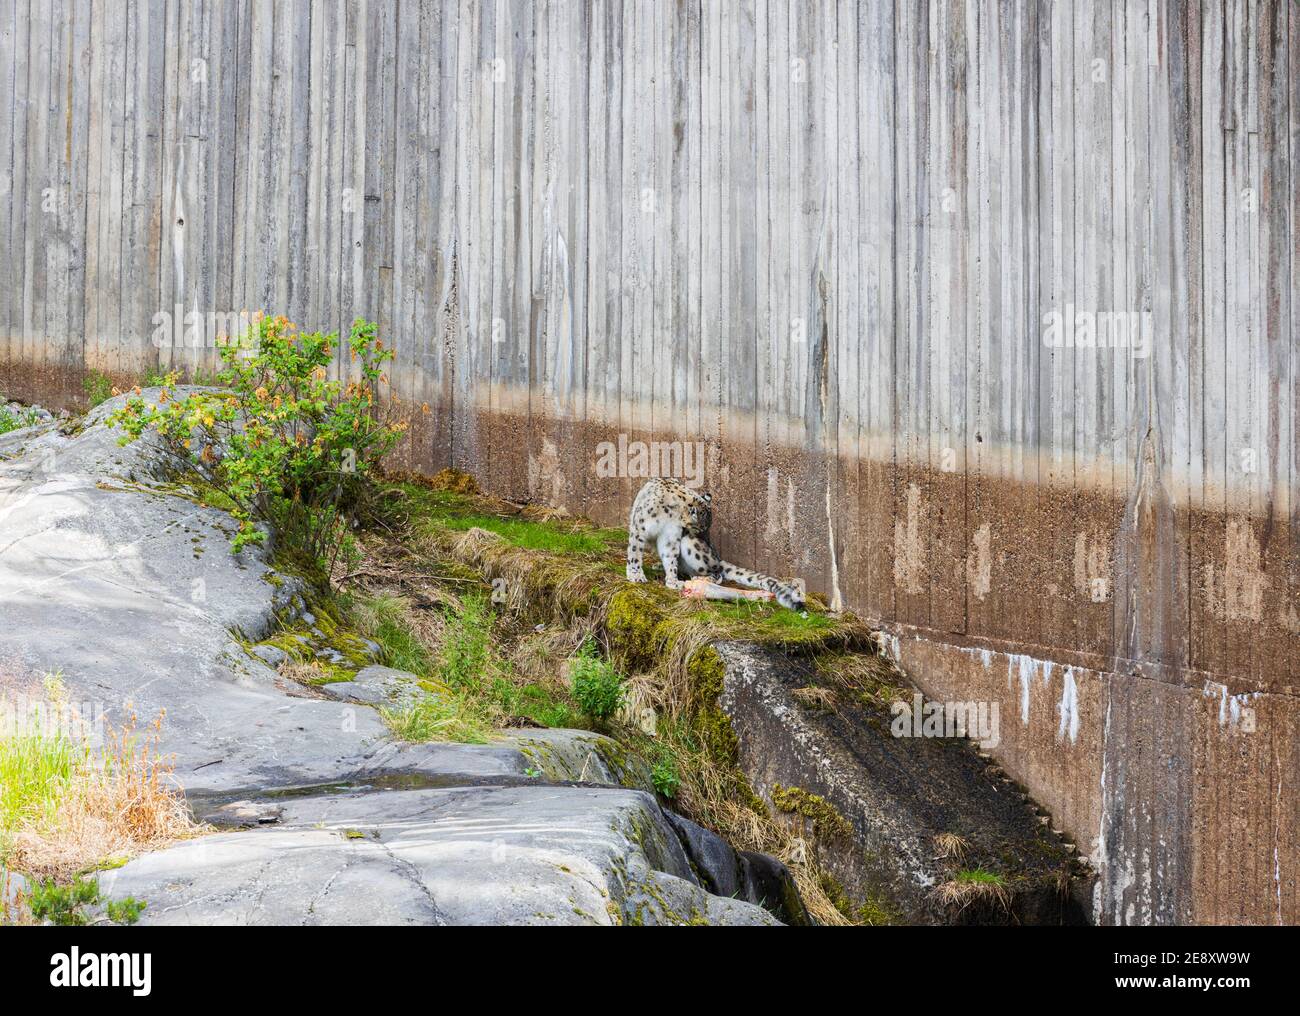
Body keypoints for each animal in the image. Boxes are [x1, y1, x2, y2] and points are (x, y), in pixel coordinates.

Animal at [625, 478, 806, 611]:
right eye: (700, 527)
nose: (705, 537)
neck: (669, 513)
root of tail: (716, 555)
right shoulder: (640, 527)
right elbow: (635, 552)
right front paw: (636, 575)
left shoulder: (670, 535)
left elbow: (670, 556)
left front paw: (672, 580)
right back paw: (658, 566)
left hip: (691, 544)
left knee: (717, 573)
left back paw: (699, 577)